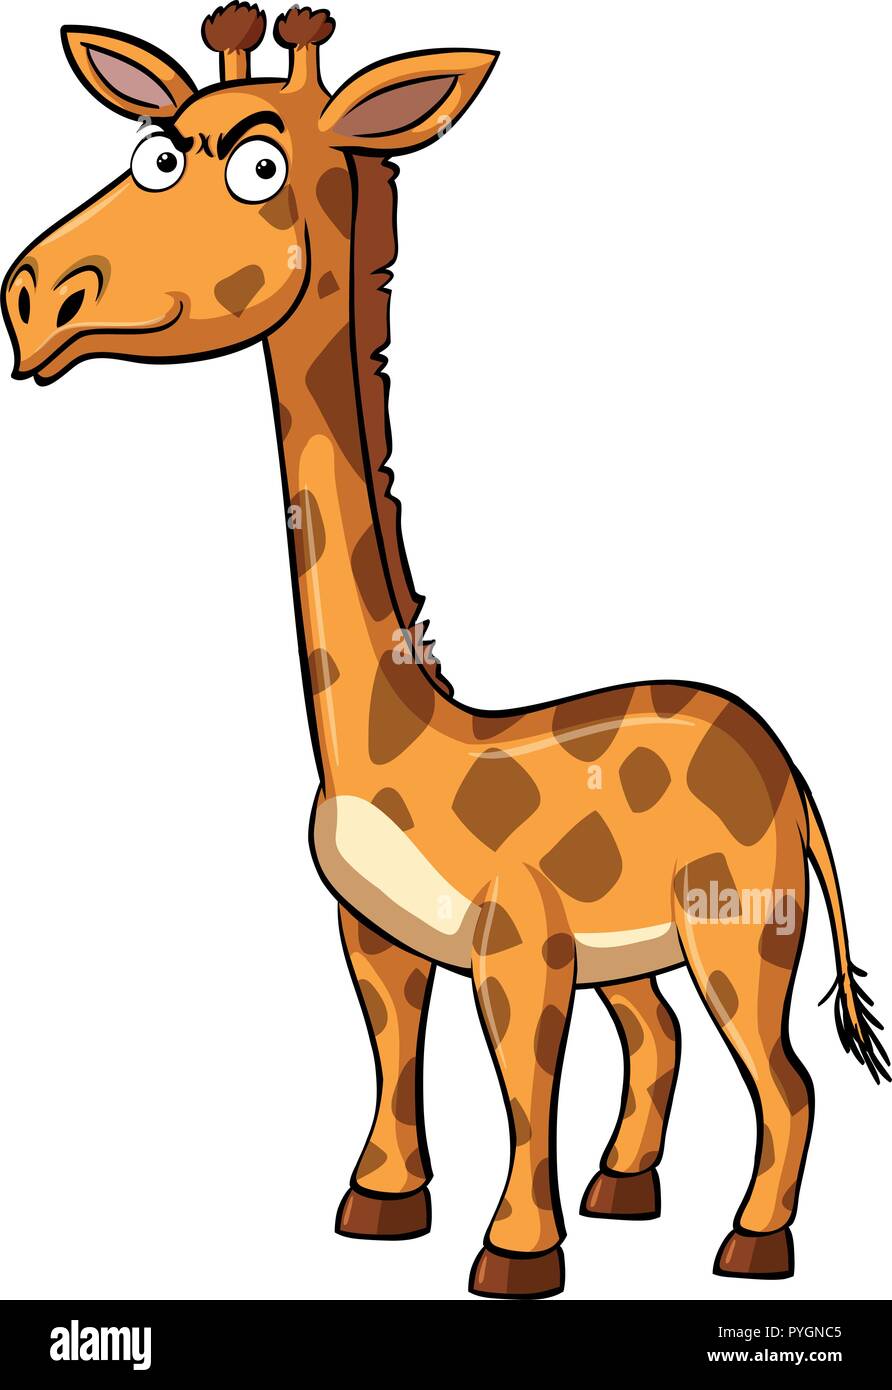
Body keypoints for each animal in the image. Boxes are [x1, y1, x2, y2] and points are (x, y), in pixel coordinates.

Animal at [3, 5, 888, 1300]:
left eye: (258, 164)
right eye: (154, 150)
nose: (36, 302)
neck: (396, 743)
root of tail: (788, 763)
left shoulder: (521, 946)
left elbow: (521, 1084)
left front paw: (514, 1256)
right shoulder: (373, 930)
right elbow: (393, 1050)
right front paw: (380, 1204)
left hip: (740, 922)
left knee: (785, 1077)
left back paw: (752, 1244)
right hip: (640, 949)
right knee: (661, 1037)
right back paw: (625, 1193)